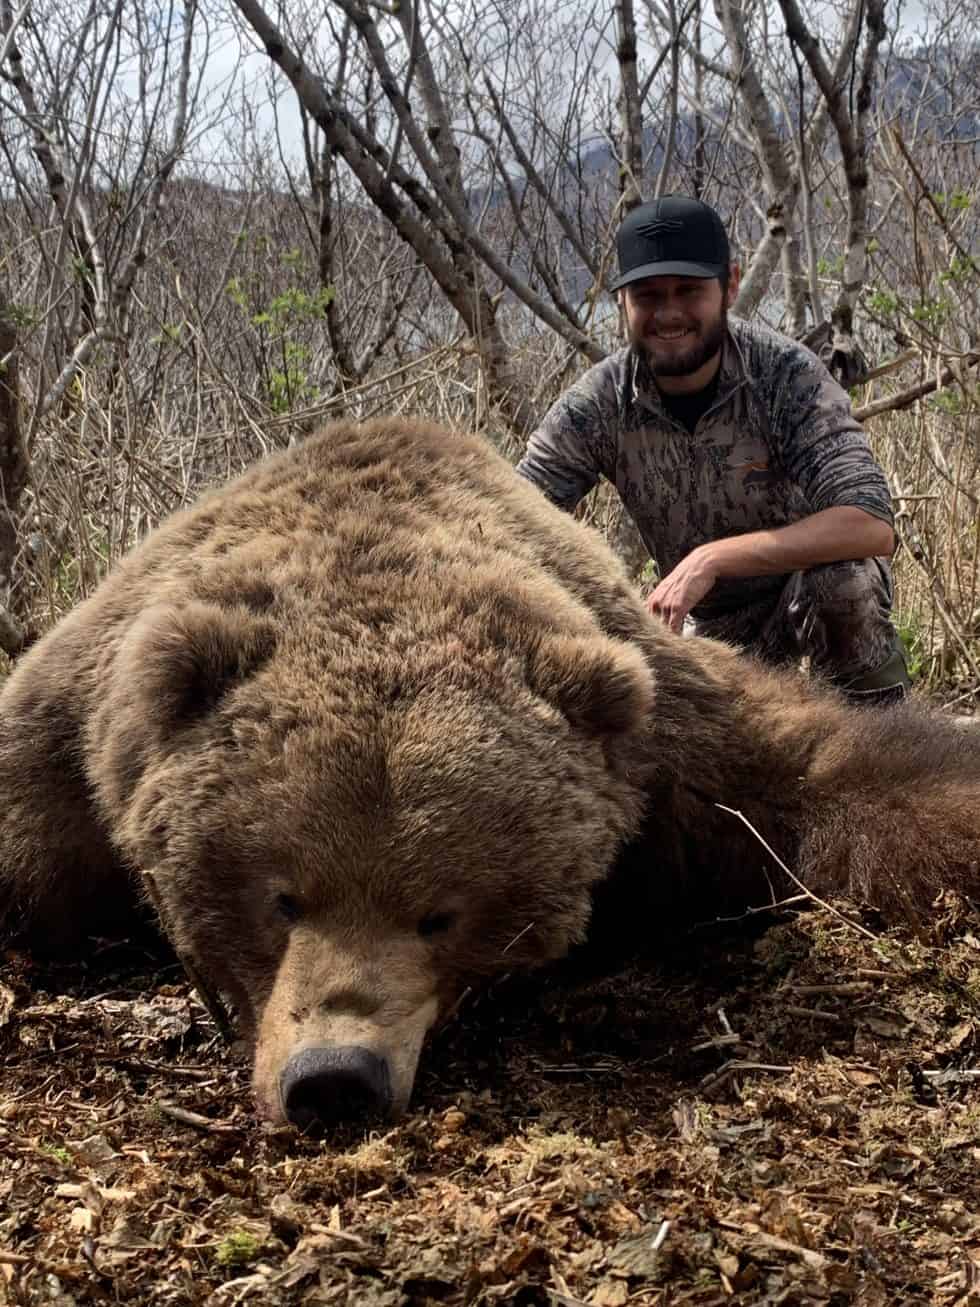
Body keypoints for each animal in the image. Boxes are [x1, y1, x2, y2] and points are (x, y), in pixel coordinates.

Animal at [0, 416, 978, 1132]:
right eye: (281, 897)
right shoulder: (72, 731)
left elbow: (840, 775)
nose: (334, 1078)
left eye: (441, 914)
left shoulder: (677, 739)